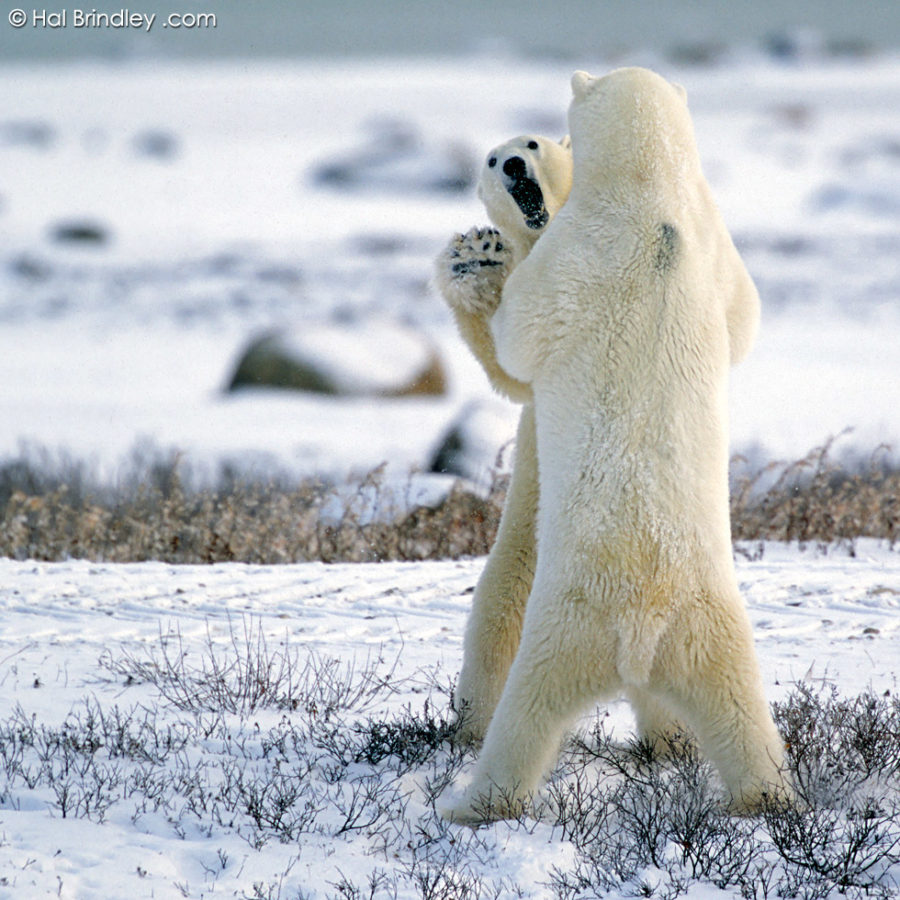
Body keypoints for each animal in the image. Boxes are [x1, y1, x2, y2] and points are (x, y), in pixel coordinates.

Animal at [441, 67, 788, 826]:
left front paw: (475, 259)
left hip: (566, 622)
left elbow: (517, 352)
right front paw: (474, 253)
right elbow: (743, 321)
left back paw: (470, 796)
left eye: (530, 143)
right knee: (739, 706)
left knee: (525, 694)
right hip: (710, 626)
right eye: (493, 157)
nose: (511, 168)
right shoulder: (718, 250)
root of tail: (641, 625)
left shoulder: (571, 258)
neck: (652, 192)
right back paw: (765, 792)